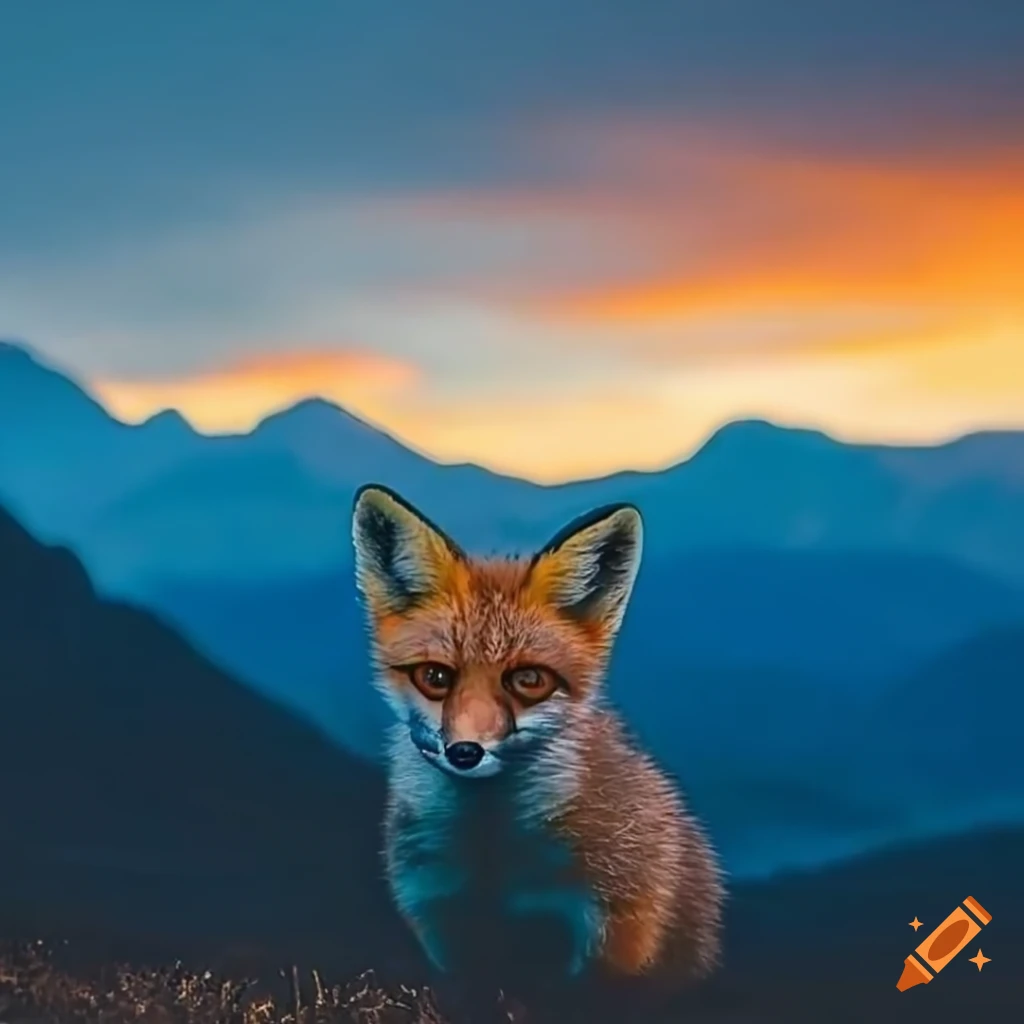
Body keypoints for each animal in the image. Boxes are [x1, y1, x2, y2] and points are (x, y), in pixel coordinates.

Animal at [351, 484, 723, 991]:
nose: (465, 752)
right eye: (435, 677)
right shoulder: (447, 934)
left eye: (529, 680)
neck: (492, 865)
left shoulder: (616, 938)